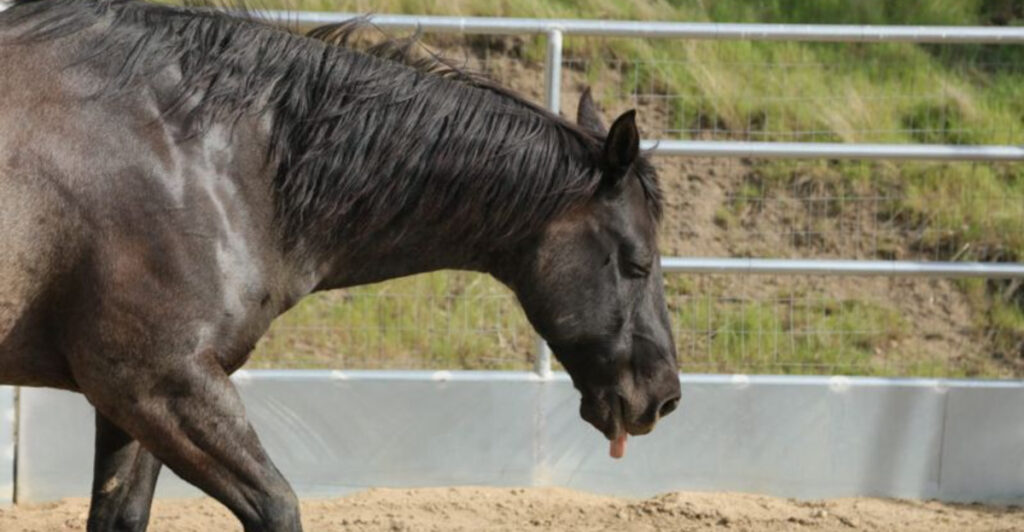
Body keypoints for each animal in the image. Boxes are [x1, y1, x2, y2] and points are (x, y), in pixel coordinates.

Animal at [0, 1, 681, 530]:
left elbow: (121, 514)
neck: (207, 156)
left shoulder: (132, 401)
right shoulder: (157, 383)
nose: (664, 397)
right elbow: (278, 507)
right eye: (638, 263)